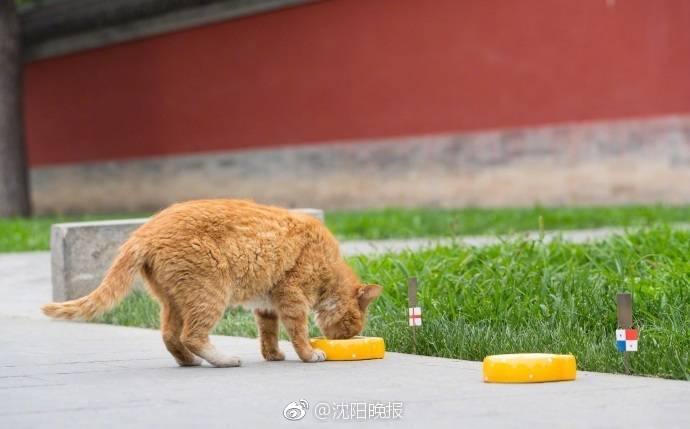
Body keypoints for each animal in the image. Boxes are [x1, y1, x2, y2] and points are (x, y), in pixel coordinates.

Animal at [41, 199, 382, 366]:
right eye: (351, 329)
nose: (346, 339)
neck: (329, 269)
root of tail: (143, 231)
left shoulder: (267, 304)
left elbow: (268, 334)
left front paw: (273, 355)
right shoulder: (292, 296)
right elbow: (298, 332)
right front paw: (310, 354)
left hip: (174, 300)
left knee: (170, 336)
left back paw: (189, 362)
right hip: (210, 292)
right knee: (192, 335)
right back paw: (224, 360)